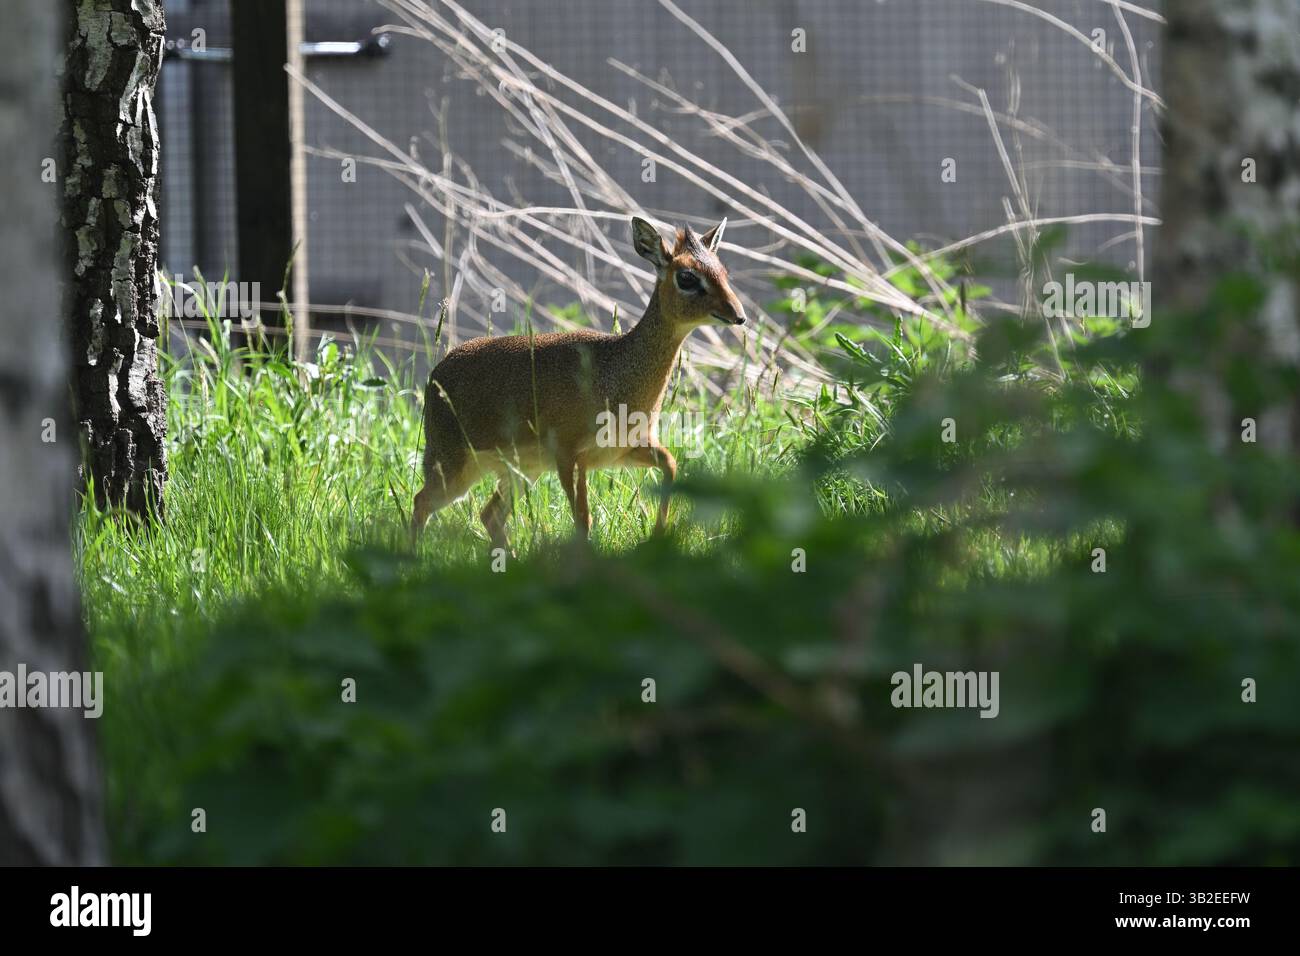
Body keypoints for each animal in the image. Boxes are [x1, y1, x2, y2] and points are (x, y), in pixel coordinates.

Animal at [411, 215, 746, 550]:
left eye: (722, 270)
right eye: (687, 277)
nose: (738, 315)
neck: (614, 371)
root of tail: (437, 372)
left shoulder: (624, 450)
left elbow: (671, 465)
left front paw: (658, 537)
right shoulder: (569, 455)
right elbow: (583, 522)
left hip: (521, 471)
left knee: (488, 514)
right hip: (455, 467)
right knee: (422, 501)